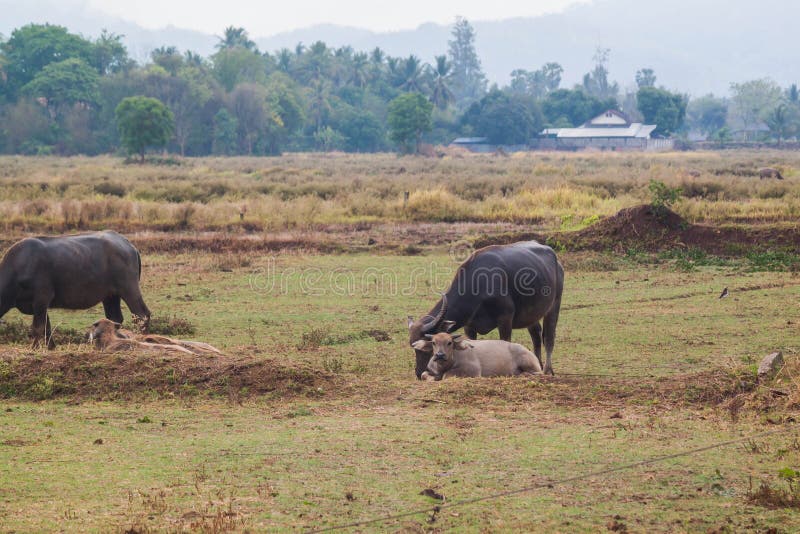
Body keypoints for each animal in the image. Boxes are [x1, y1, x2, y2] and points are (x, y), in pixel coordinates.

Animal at [0, 231, 150, 348]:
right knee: (115, 318)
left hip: (129, 288)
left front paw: (34, 348)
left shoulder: (41, 298)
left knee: (142, 315)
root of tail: (128, 244)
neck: (18, 268)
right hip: (110, 295)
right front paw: (50, 347)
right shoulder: (40, 305)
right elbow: (47, 328)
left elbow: (38, 328)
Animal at [408, 241, 563, 377]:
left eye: (427, 345)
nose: (419, 372)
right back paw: (539, 365)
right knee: (536, 335)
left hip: (554, 304)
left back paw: (548, 370)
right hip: (531, 315)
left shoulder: (505, 319)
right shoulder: (469, 326)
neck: (480, 285)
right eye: (414, 346)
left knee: (548, 337)